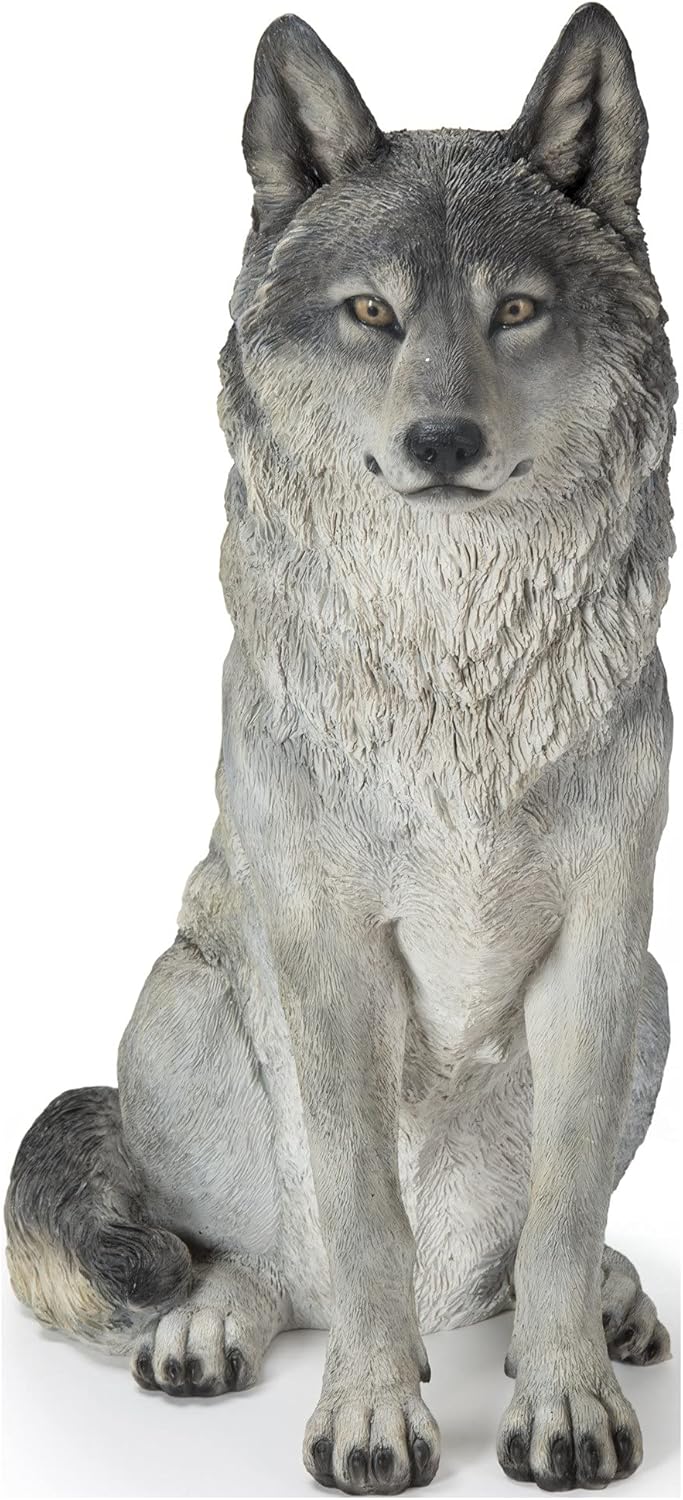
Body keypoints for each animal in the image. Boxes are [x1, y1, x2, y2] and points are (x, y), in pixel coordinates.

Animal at [5, 4, 676, 1493]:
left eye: (514, 309)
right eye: (372, 312)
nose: (441, 439)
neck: (454, 657)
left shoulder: (601, 947)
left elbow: (554, 1223)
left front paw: (563, 1400)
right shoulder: (333, 954)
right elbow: (364, 1220)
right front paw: (371, 1414)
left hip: (654, 1002)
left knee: (514, 1261)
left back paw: (594, 1304)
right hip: (173, 1001)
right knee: (270, 1264)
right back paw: (214, 1328)